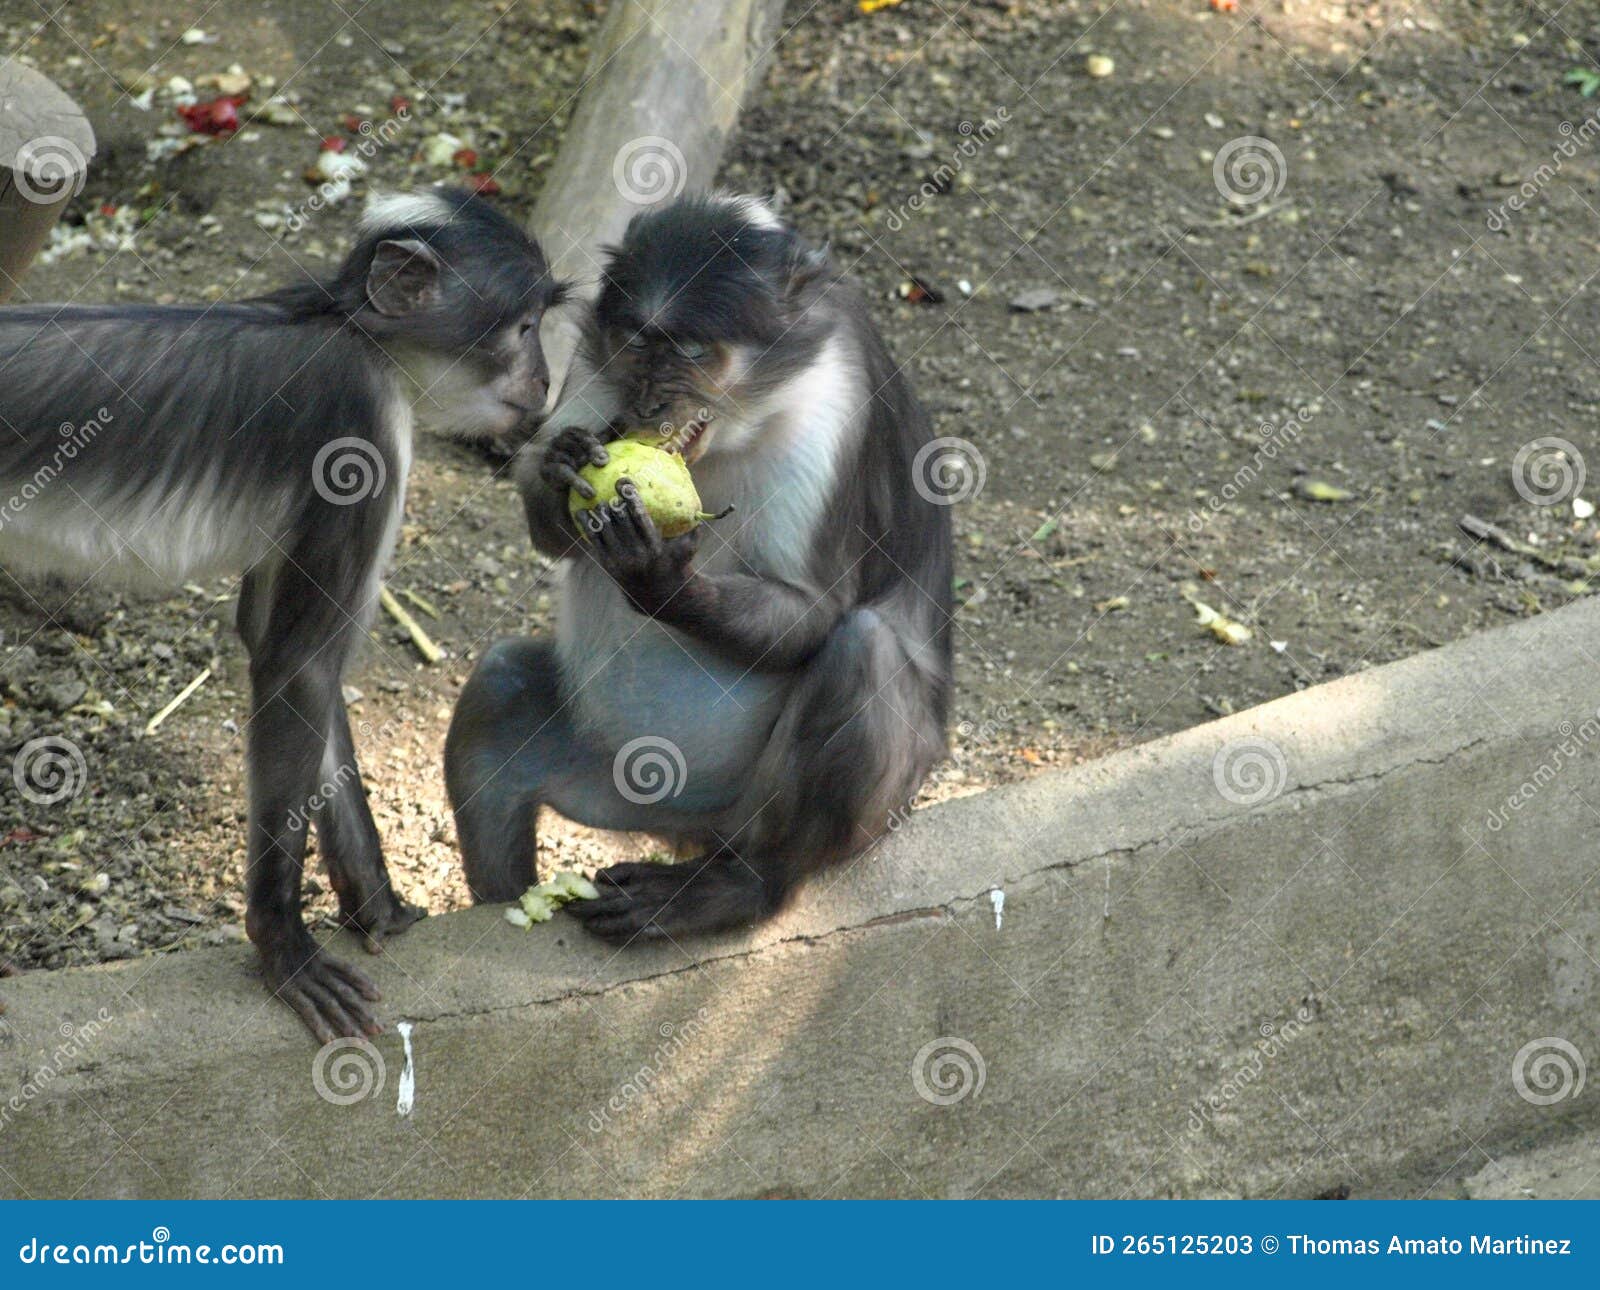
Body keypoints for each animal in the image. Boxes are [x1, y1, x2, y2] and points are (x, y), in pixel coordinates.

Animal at [0, 187, 564, 1041]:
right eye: (524, 327)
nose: (546, 379)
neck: (347, 330)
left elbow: (280, 648)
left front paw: (380, 910)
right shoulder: (362, 430)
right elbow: (299, 668)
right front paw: (284, 947)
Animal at [444, 191, 952, 943]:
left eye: (689, 350)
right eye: (637, 342)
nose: (648, 404)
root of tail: (695, 829)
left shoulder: (833, 403)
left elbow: (813, 609)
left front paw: (662, 583)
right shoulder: (596, 368)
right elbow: (552, 525)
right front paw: (561, 466)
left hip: (810, 809)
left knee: (865, 648)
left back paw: (736, 889)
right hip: (603, 778)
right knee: (500, 684)